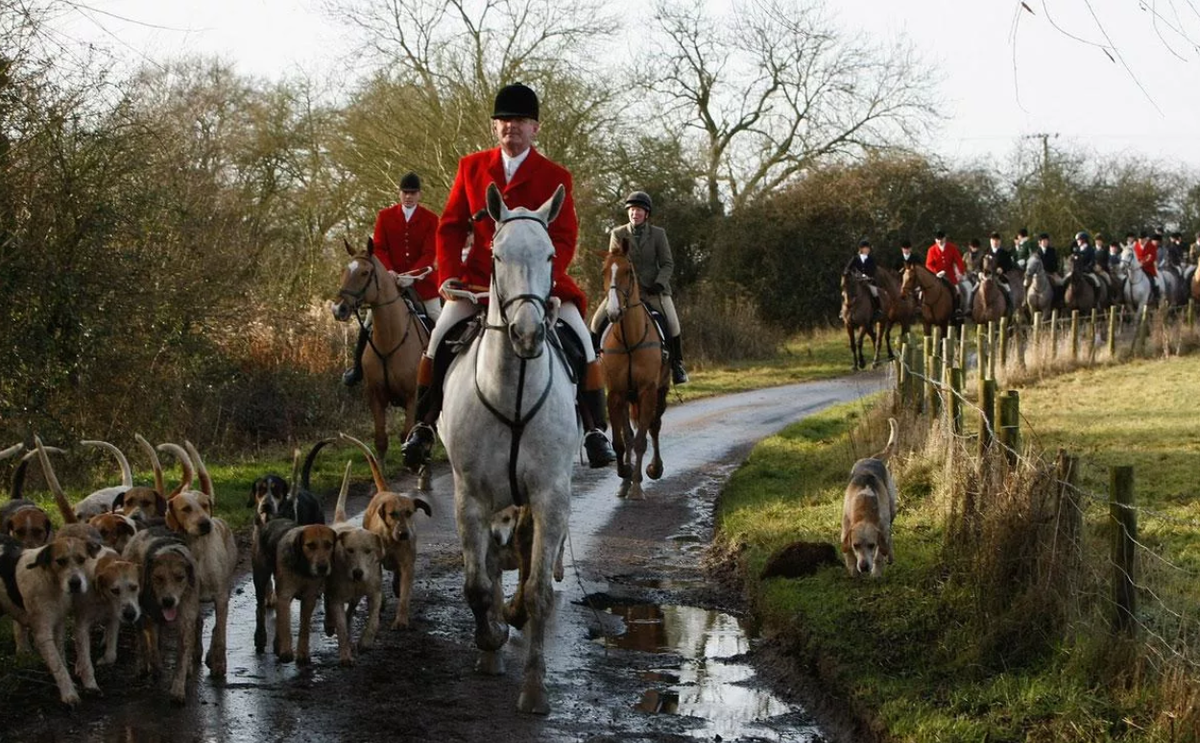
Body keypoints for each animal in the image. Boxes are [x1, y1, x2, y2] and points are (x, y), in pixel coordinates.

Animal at [333, 238, 432, 482]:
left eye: (365, 272)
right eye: (344, 271)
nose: (338, 309)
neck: (390, 340)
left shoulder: (412, 397)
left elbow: (407, 435)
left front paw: (414, 468)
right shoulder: (375, 396)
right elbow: (380, 440)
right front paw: (382, 480)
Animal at [439, 180, 578, 715]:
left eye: (550, 254)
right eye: (497, 254)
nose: (527, 333)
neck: (512, 392)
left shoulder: (550, 495)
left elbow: (538, 590)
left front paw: (535, 688)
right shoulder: (471, 497)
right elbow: (477, 585)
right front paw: (491, 639)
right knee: (494, 562)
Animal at [600, 240, 676, 499]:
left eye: (628, 272)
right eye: (604, 272)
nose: (613, 312)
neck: (629, 341)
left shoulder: (647, 391)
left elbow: (643, 439)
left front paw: (636, 485)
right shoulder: (616, 393)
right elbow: (621, 441)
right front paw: (624, 475)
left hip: (660, 392)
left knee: (654, 427)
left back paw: (654, 468)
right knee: (630, 435)